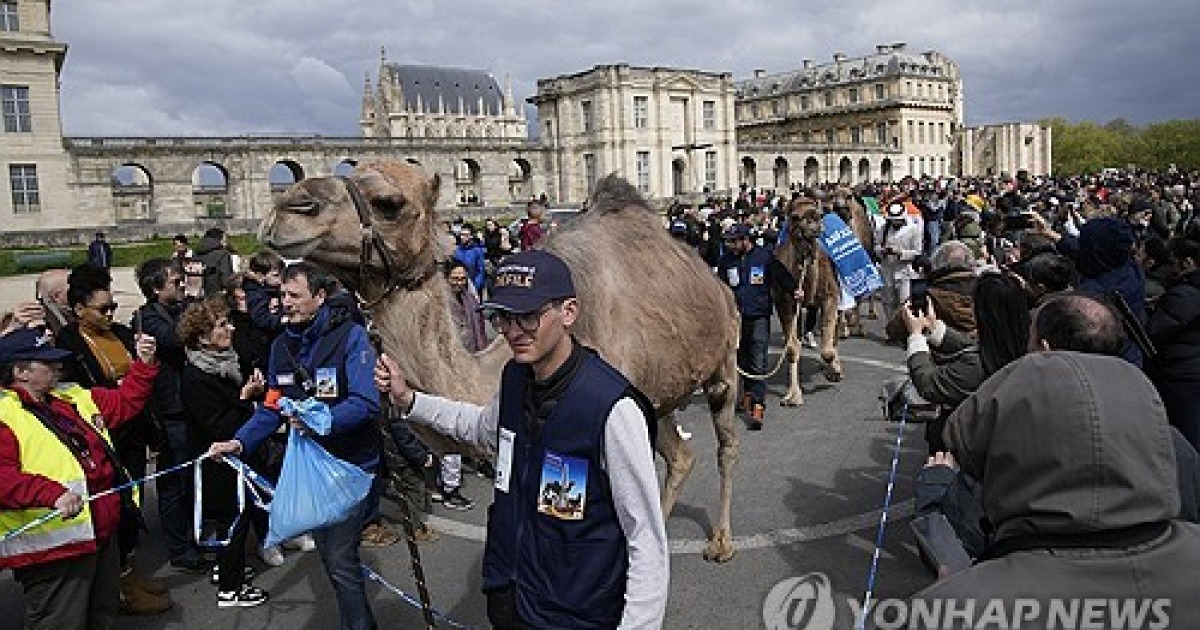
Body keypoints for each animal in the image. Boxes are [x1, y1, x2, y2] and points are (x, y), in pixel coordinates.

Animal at [258, 159, 742, 562]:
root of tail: (711, 277)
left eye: (389, 204)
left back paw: (720, 542)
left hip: (724, 360)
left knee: (725, 444)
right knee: (681, 456)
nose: (288, 206)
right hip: (657, 396)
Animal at [771, 193, 876, 405]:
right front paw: (793, 395)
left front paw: (834, 372)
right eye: (795, 217)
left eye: (817, 215)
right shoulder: (784, 302)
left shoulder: (831, 296)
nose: (814, 228)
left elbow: (827, 348)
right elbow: (792, 348)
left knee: (835, 330)